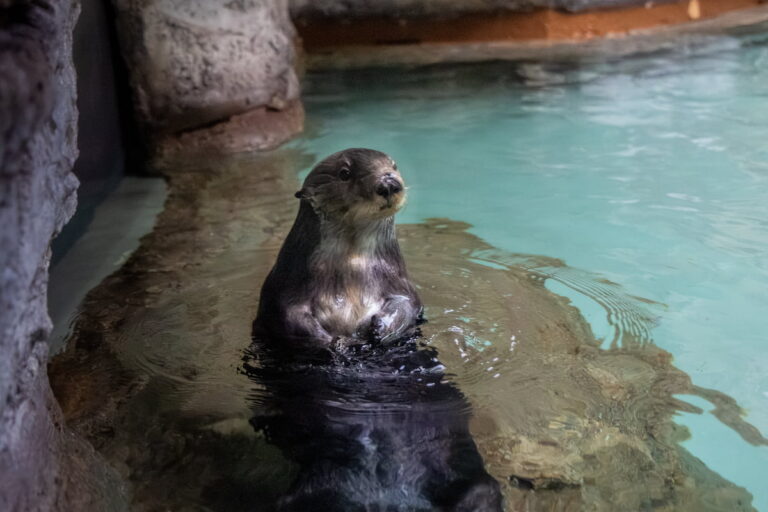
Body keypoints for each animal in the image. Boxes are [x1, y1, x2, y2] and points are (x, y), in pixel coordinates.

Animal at [255, 148, 422, 345]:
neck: (353, 265)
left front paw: (381, 327)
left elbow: (408, 302)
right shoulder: (288, 283)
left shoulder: (394, 274)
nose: (388, 183)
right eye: (344, 173)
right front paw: (332, 341)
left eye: (393, 165)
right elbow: (288, 315)